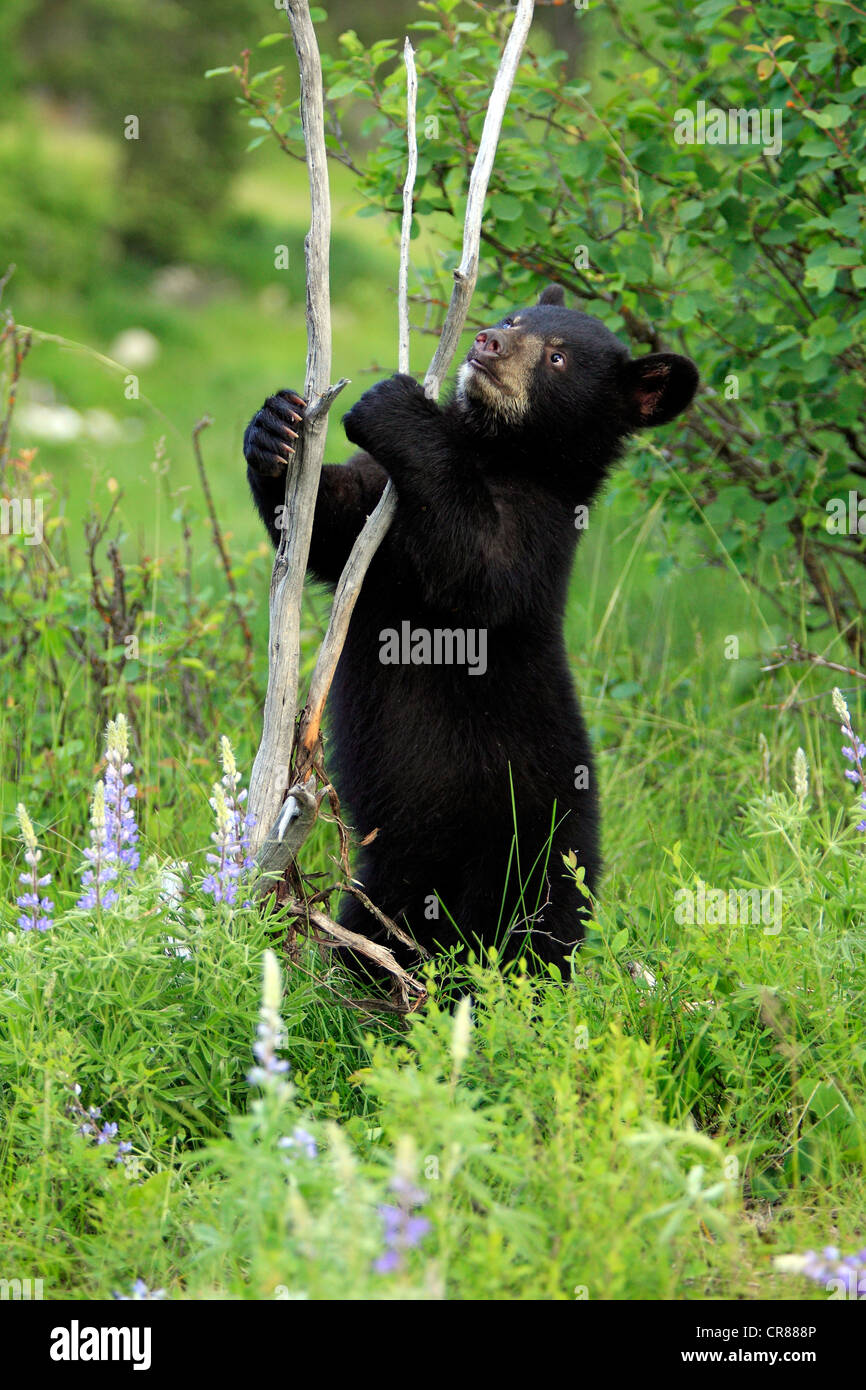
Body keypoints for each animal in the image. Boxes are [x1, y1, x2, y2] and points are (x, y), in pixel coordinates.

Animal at [244, 286, 698, 977]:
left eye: (558, 357)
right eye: (516, 318)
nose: (487, 341)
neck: (497, 451)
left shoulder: (535, 535)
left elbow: (476, 565)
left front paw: (394, 406)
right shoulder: (384, 517)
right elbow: (334, 525)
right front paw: (276, 429)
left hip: (530, 850)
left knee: (532, 936)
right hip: (390, 875)